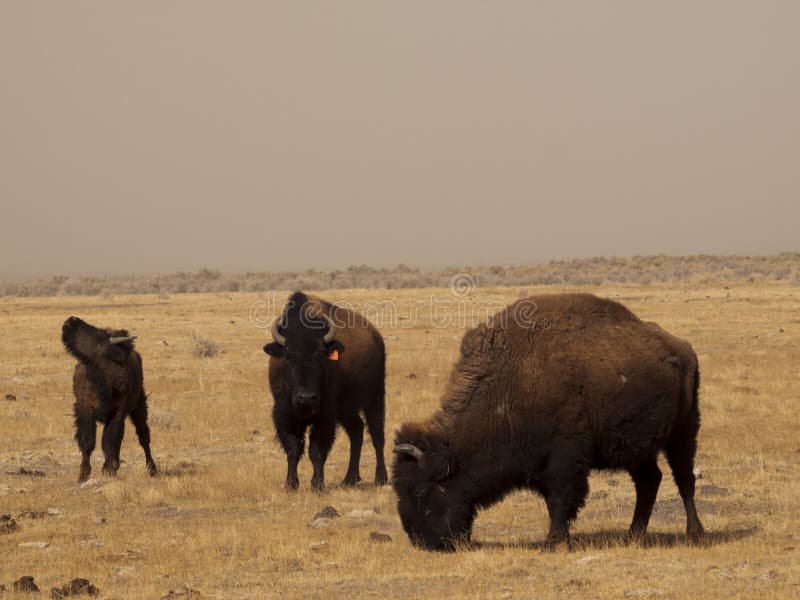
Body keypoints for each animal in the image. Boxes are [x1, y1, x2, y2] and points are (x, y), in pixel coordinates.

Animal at [62, 316, 157, 482]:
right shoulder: (86, 411)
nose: (71, 320)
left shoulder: (117, 412)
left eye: (99, 335)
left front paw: (108, 470)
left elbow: (110, 440)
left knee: (143, 437)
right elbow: (88, 442)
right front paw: (83, 475)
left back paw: (152, 469)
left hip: (139, 406)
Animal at [264, 292, 387, 491]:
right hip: (347, 410)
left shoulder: (325, 416)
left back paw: (380, 478)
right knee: (357, 431)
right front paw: (291, 484)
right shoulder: (284, 414)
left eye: (321, 355)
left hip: (375, 399)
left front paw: (317, 484)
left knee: (377, 435)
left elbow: (316, 450)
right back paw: (349, 479)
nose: (307, 397)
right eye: (288, 356)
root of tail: (376, 336)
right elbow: (293, 449)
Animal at [393, 293, 704, 551]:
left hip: (683, 432)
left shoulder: (564, 460)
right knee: (649, 481)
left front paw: (554, 541)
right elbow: (554, 500)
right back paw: (633, 536)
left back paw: (694, 534)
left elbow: (560, 499)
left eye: (420, 489)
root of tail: (684, 348)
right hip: (637, 448)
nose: (423, 541)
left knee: (684, 479)